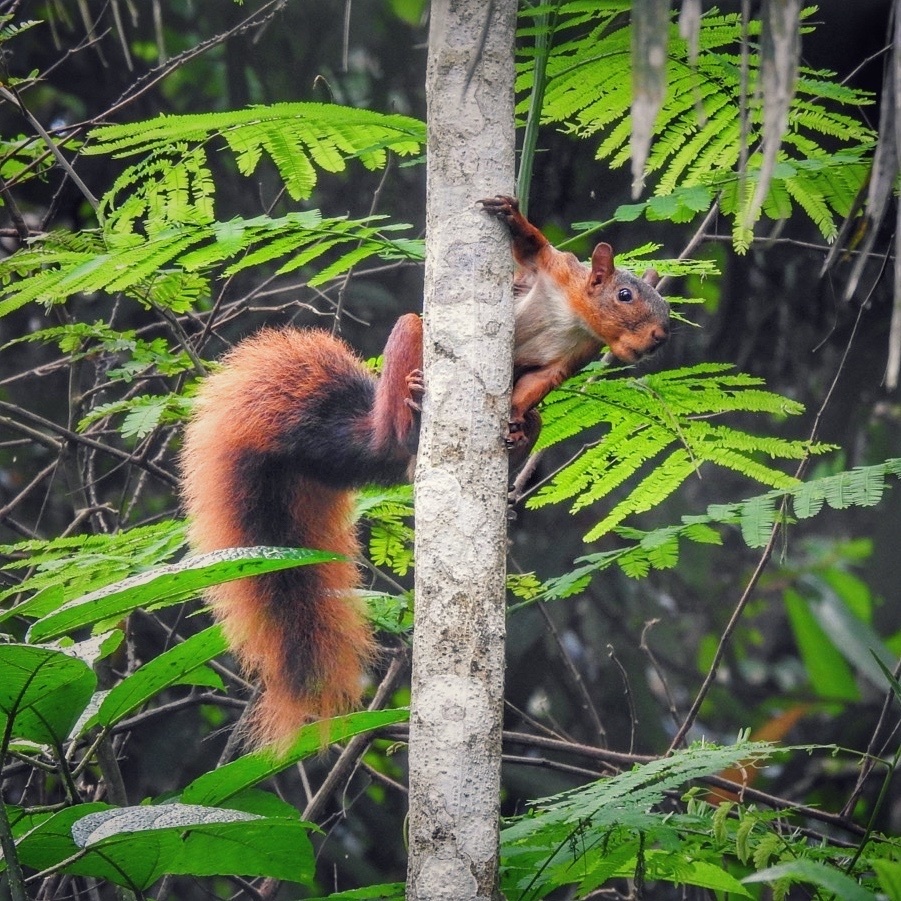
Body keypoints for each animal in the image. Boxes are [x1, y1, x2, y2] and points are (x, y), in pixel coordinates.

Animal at [180, 195, 669, 748]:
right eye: (625, 294)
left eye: (663, 312)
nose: (658, 339)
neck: (573, 318)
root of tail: (377, 439)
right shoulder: (554, 274)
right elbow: (537, 251)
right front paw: (516, 218)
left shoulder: (567, 361)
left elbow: (534, 388)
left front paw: (515, 418)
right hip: (410, 341)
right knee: (407, 360)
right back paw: (411, 407)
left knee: (526, 421)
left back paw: (520, 440)